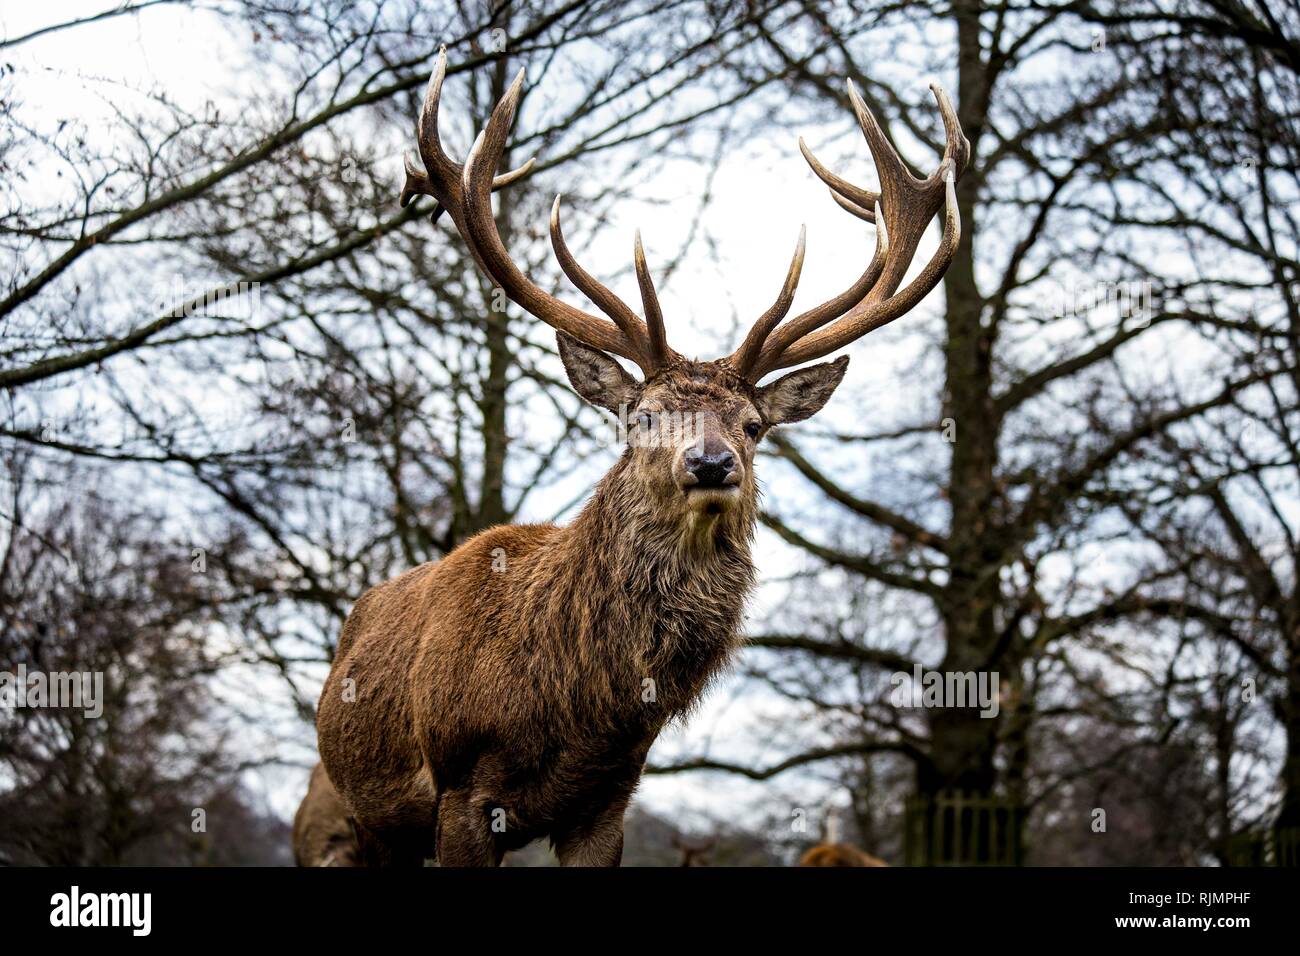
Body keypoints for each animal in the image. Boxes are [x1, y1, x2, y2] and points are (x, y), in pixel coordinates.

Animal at [315, 47, 968, 867]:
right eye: (643, 416)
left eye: (754, 425)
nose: (712, 465)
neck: (573, 714)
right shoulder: (459, 789)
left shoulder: (610, 800)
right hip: (366, 816)